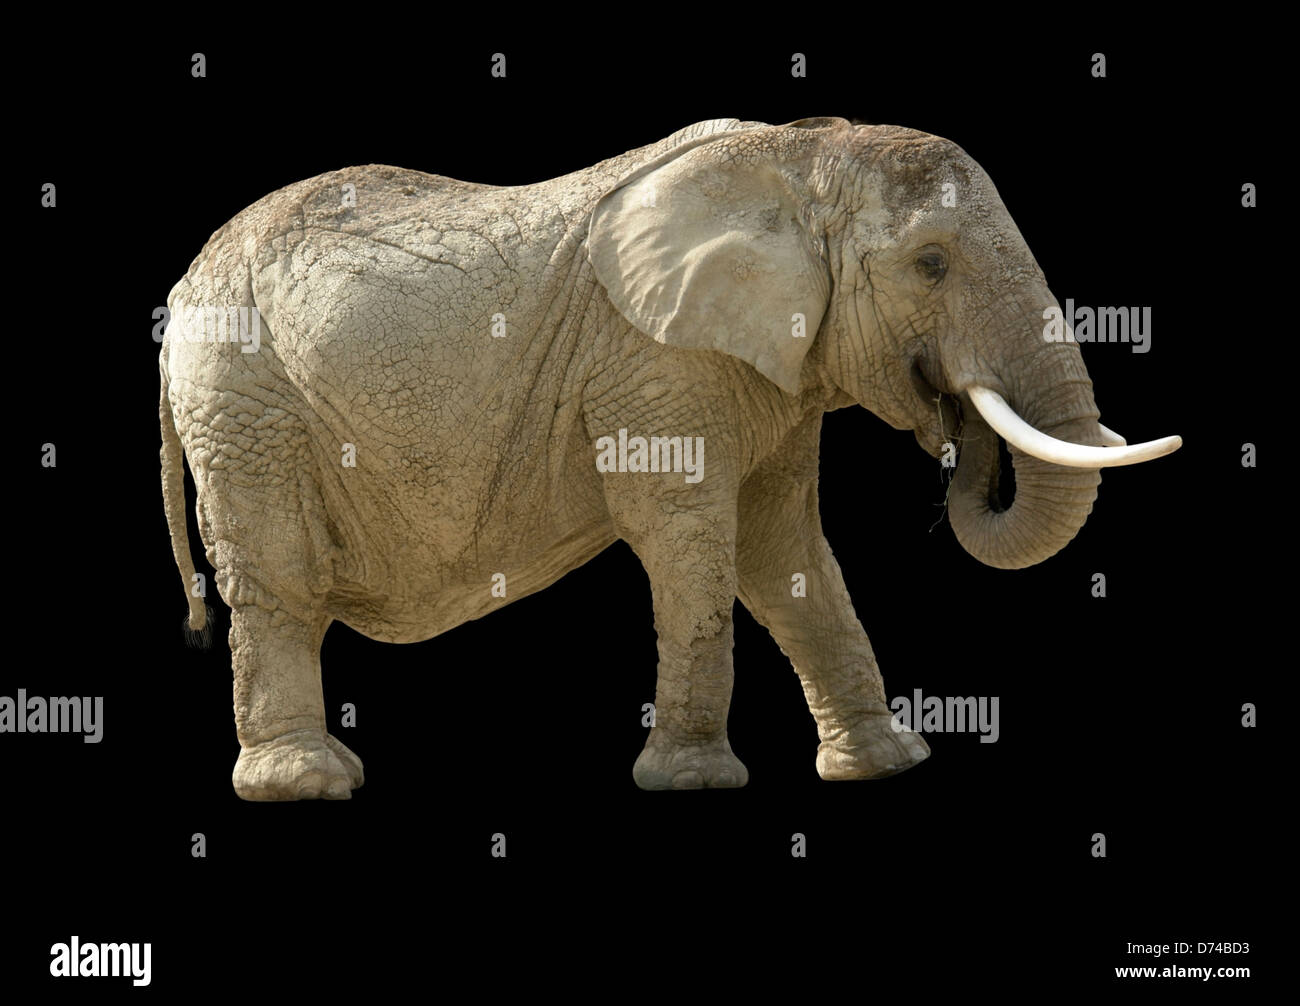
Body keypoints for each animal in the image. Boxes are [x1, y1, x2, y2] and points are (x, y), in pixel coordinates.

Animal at [158, 116, 1180, 800]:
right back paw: (307, 780)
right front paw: (693, 780)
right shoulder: (655, 364)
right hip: (242, 399)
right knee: (276, 575)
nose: (950, 430)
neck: (799, 159)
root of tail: (183, 289)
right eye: (930, 265)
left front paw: (882, 766)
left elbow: (786, 551)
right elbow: (690, 545)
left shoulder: (768, 367)